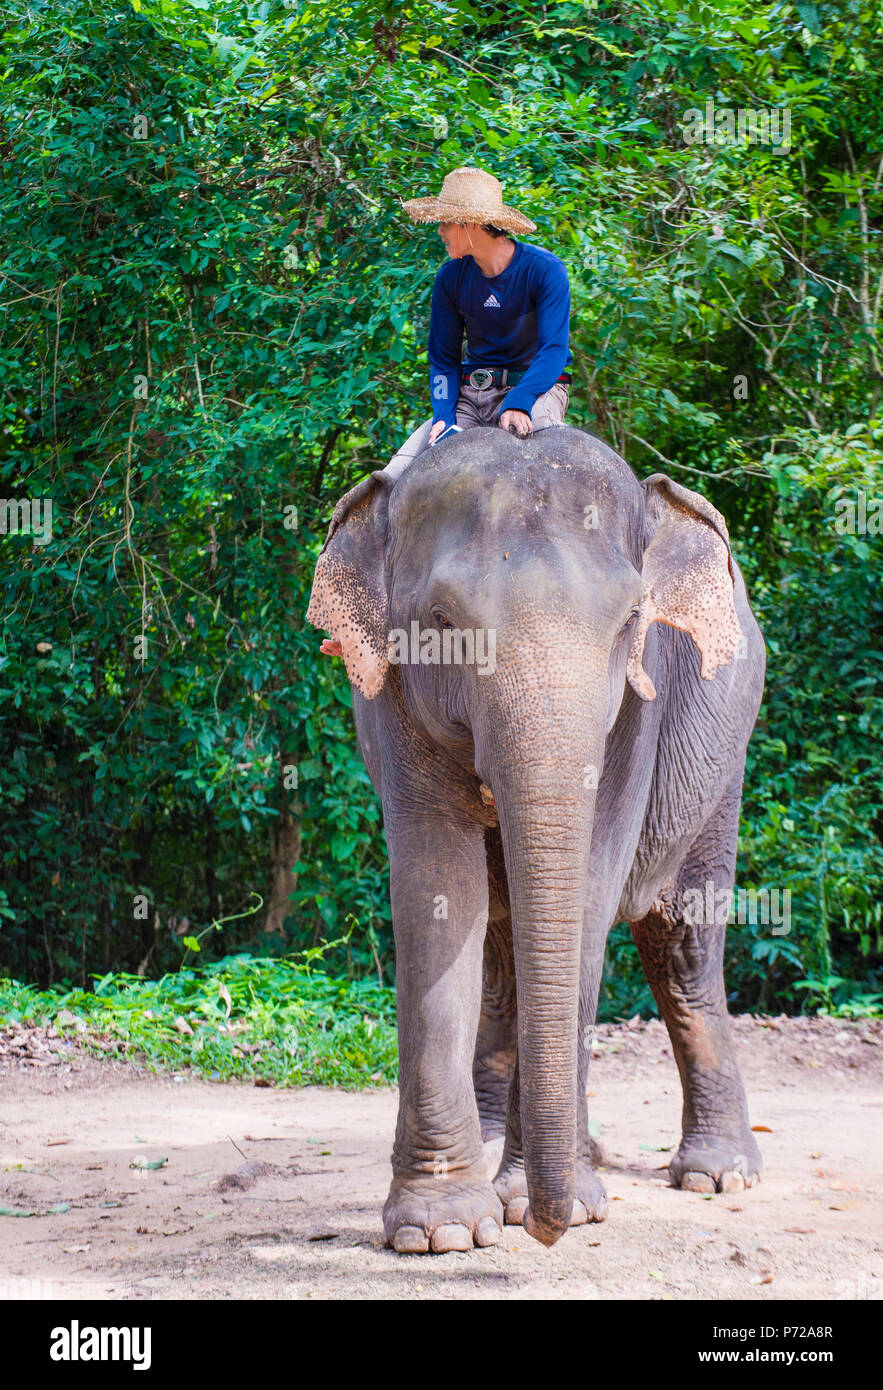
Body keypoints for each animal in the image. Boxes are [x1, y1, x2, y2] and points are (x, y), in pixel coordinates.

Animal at [306, 424, 765, 1253]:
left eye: (629, 623)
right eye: (442, 624)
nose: (545, 1232)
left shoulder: (635, 712)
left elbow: (587, 894)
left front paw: (549, 1205)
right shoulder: (392, 697)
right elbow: (439, 888)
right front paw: (444, 1230)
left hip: (724, 753)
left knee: (681, 943)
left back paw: (716, 1175)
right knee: (500, 945)